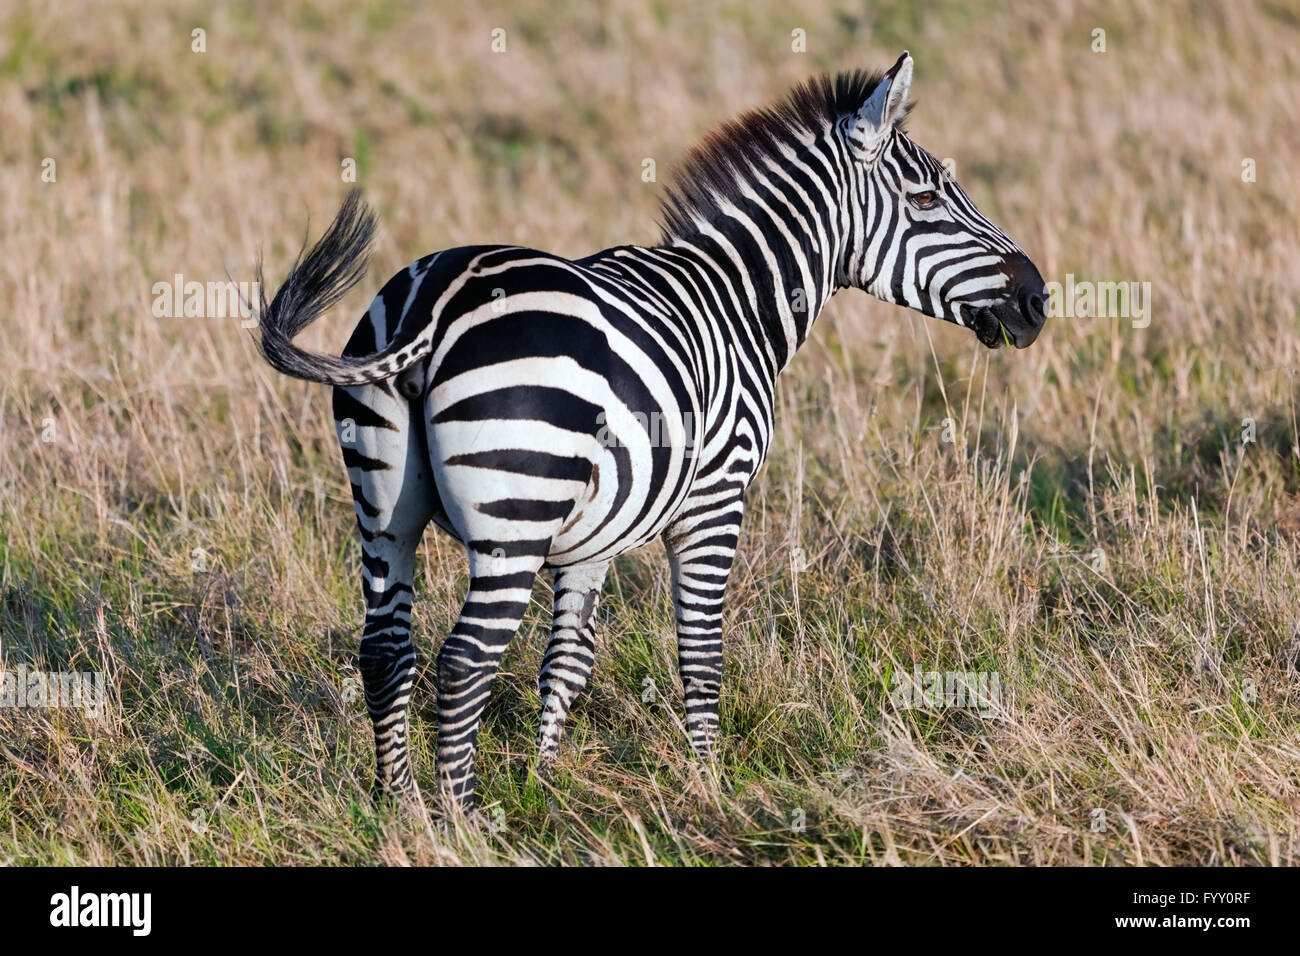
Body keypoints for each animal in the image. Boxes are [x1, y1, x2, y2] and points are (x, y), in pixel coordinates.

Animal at [256, 52, 1047, 811]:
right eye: (927, 199)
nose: (1037, 298)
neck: (740, 300)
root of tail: (435, 303)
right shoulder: (715, 500)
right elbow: (701, 653)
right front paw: (710, 785)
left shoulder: (594, 532)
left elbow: (567, 661)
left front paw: (546, 785)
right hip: (514, 516)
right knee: (464, 661)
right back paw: (462, 821)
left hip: (384, 510)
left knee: (386, 650)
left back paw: (398, 810)